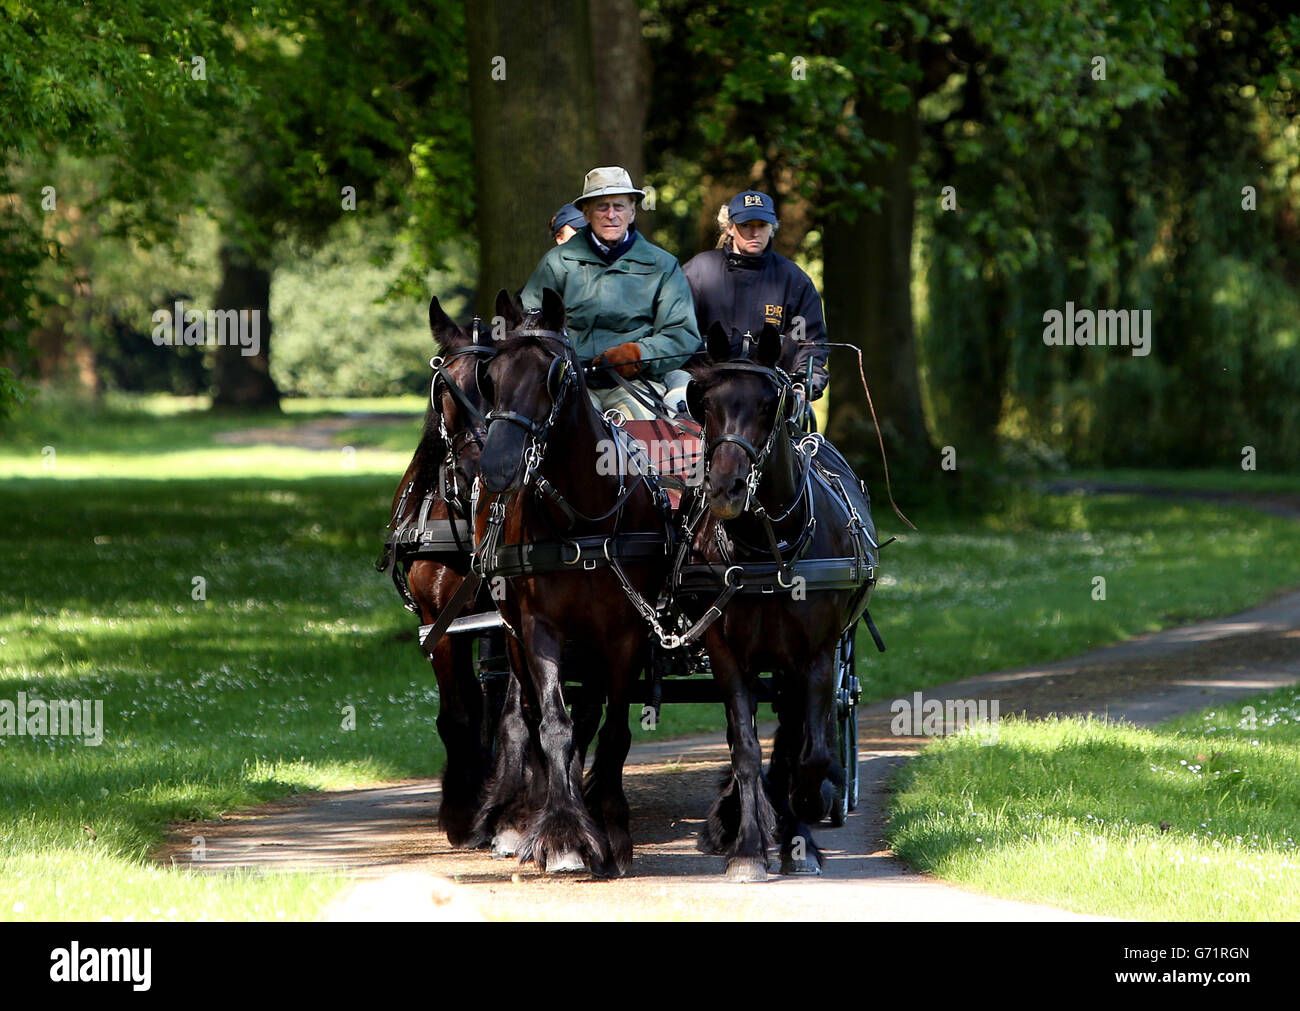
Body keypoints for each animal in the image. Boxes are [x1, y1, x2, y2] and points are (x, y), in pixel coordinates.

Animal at [470, 287, 673, 876]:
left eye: (554, 374)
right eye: (491, 375)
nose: (497, 466)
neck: (582, 519)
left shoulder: (627, 634)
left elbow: (614, 730)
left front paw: (612, 828)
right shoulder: (540, 627)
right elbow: (553, 726)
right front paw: (562, 833)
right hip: (513, 633)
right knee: (527, 715)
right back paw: (523, 816)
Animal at [679, 321, 877, 880]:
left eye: (771, 404)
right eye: (704, 402)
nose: (725, 488)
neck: (769, 550)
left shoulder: (815, 656)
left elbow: (807, 752)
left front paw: (802, 830)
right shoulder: (727, 655)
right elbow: (745, 750)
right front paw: (747, 848)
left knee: (796, 737)